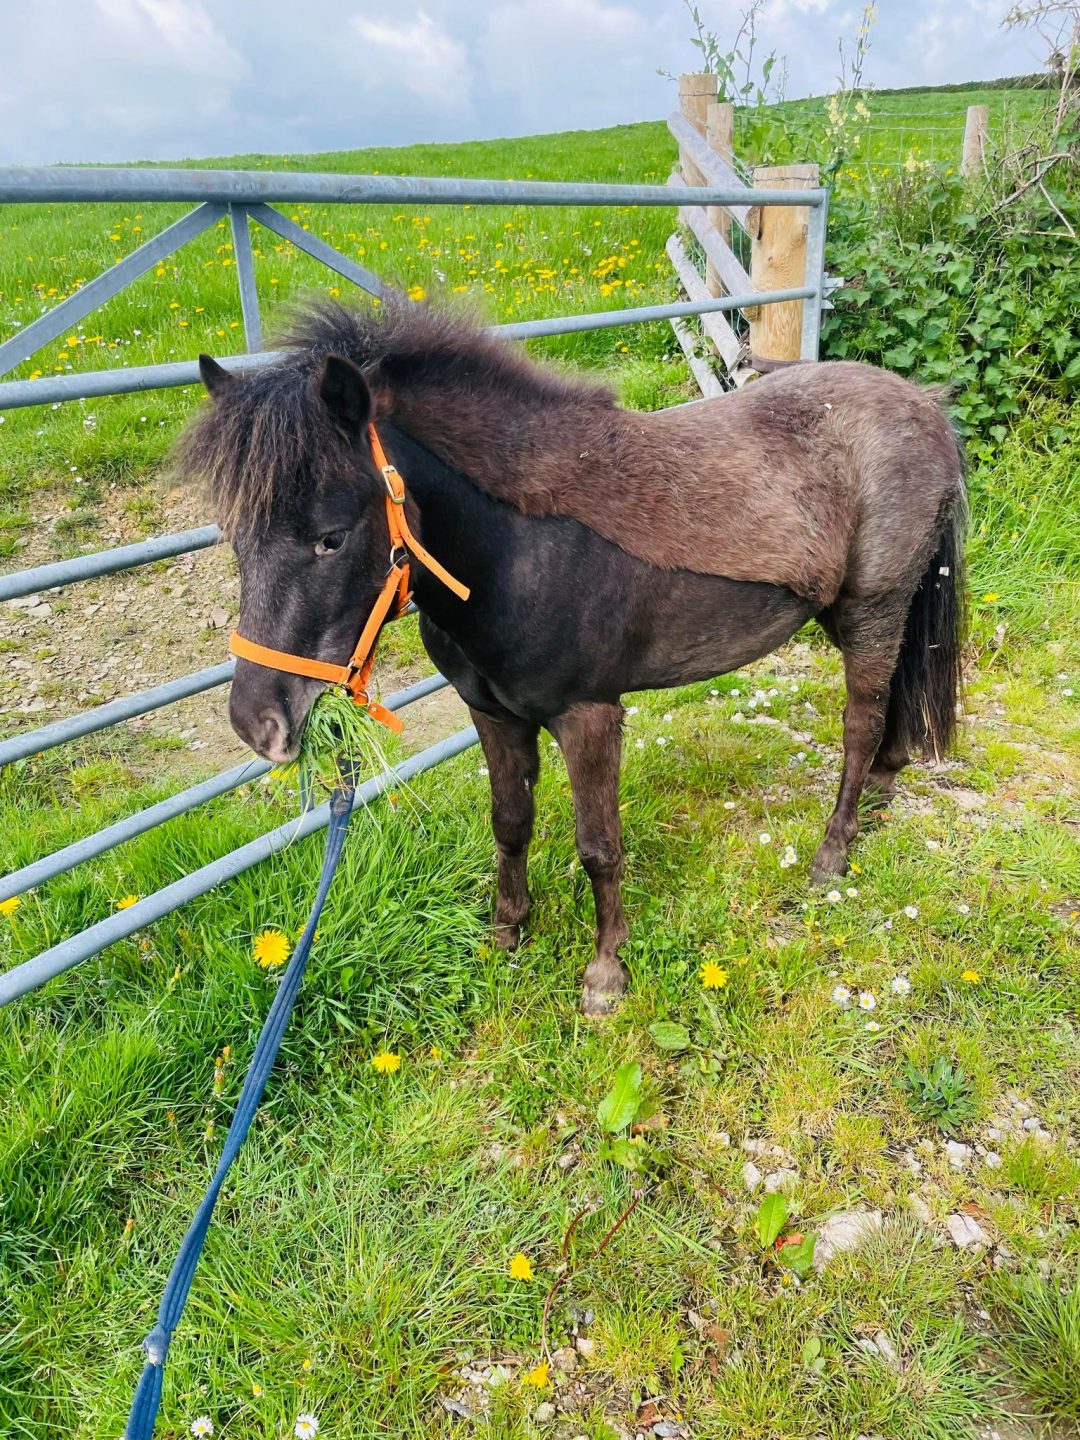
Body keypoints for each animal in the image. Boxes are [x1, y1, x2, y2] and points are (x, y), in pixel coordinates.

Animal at [176, 299, 966, 1015]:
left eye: (331, 537)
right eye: (238, 537)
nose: (259, 722)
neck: (518, 551)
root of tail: (923, 404)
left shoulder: (589, 718)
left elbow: (598, 846)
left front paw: (605, 973)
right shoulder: (493, 715)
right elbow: (510, 822)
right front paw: (507, 933)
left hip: (872, 608)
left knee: (859, 723)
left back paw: (832, 856)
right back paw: (885, 784)